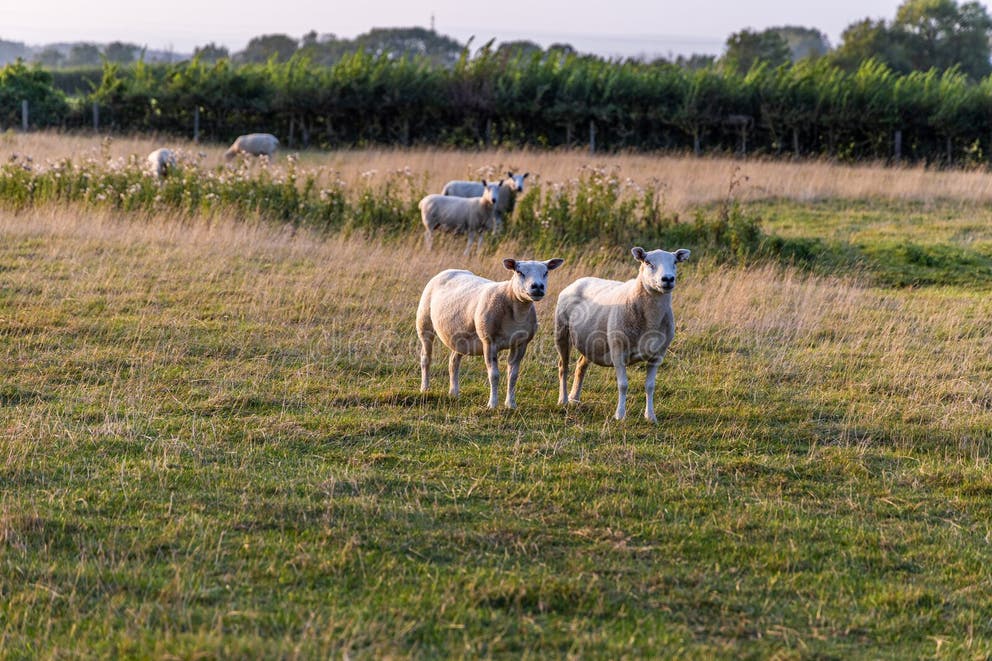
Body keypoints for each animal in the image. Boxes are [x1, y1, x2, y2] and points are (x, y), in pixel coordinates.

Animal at [417, 257, 564, 409]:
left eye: (546, 272)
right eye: (519, 272)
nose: (538, 287)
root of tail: (449, 270)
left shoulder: (520, 344)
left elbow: (513, 375)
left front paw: (511, 404)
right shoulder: (489, 341)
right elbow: (494, 375)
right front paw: (492, 404)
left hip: (460, 337)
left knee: (453, 362)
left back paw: (454, 392)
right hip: (424, 324)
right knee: (425, 358)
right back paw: (425, 388)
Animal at [555, 247, 691, 422]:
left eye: (675, 262)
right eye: (648, 262)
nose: (667, 279)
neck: (650, 321)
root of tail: (578, 281)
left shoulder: (658, 355)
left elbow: (650, 386)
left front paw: (650, 416)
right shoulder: (618, 350)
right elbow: (623, 385)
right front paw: (620, 415)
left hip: (591, 340)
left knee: (581, 365)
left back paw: (574, 398)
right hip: (561, 332)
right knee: (563, 366)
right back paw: (563, 400)